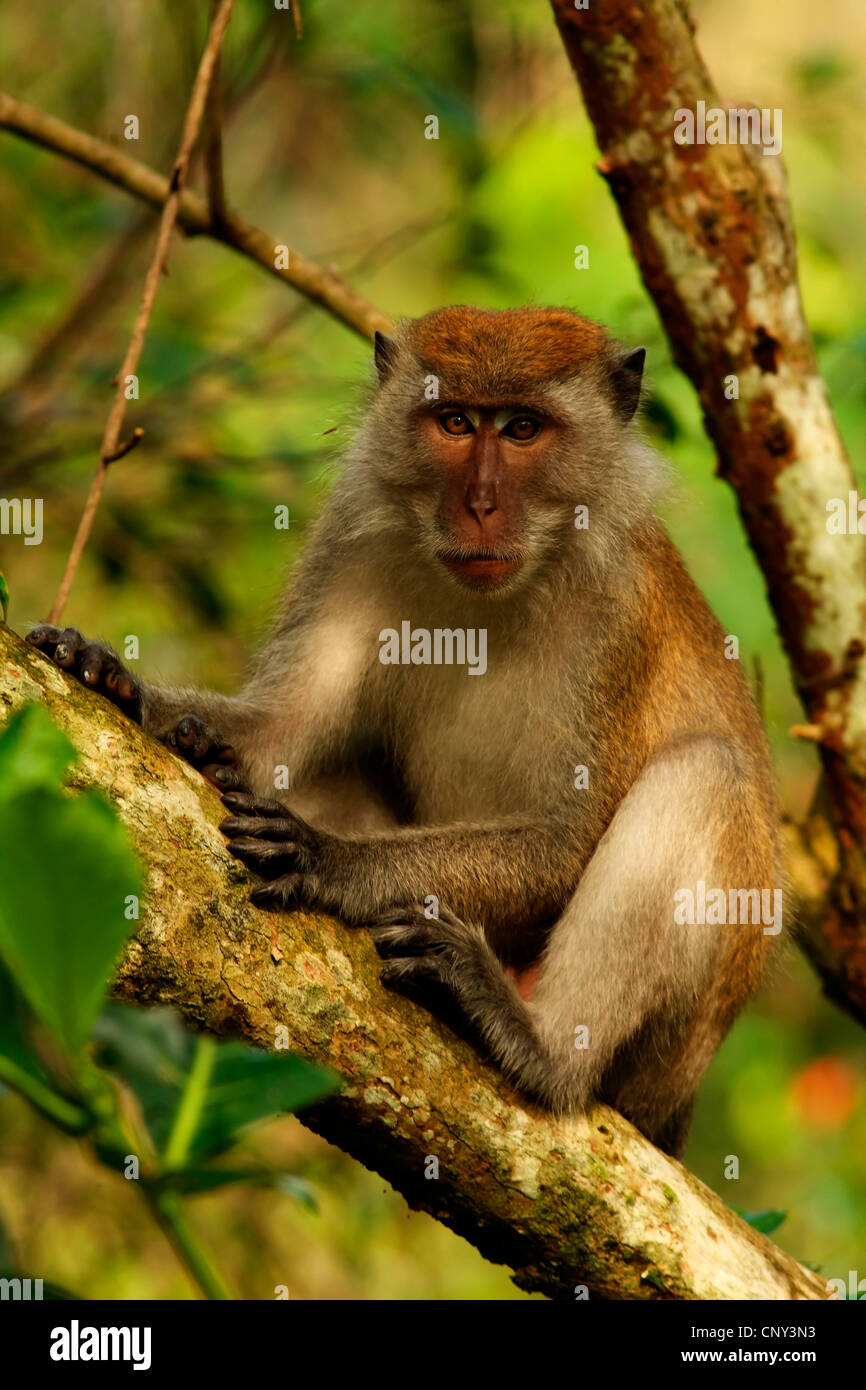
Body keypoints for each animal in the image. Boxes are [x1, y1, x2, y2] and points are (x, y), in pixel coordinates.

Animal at [27, 305, 782, 1158]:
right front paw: (117, 683)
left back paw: (541, 1045)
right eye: (454, 422)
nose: (481, 504)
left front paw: (332, 861)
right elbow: (277, 735)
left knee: (705, 773)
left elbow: (566, 842)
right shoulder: (352, 543)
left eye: (523, 429)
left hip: (668, 1052)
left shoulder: (620, 620)